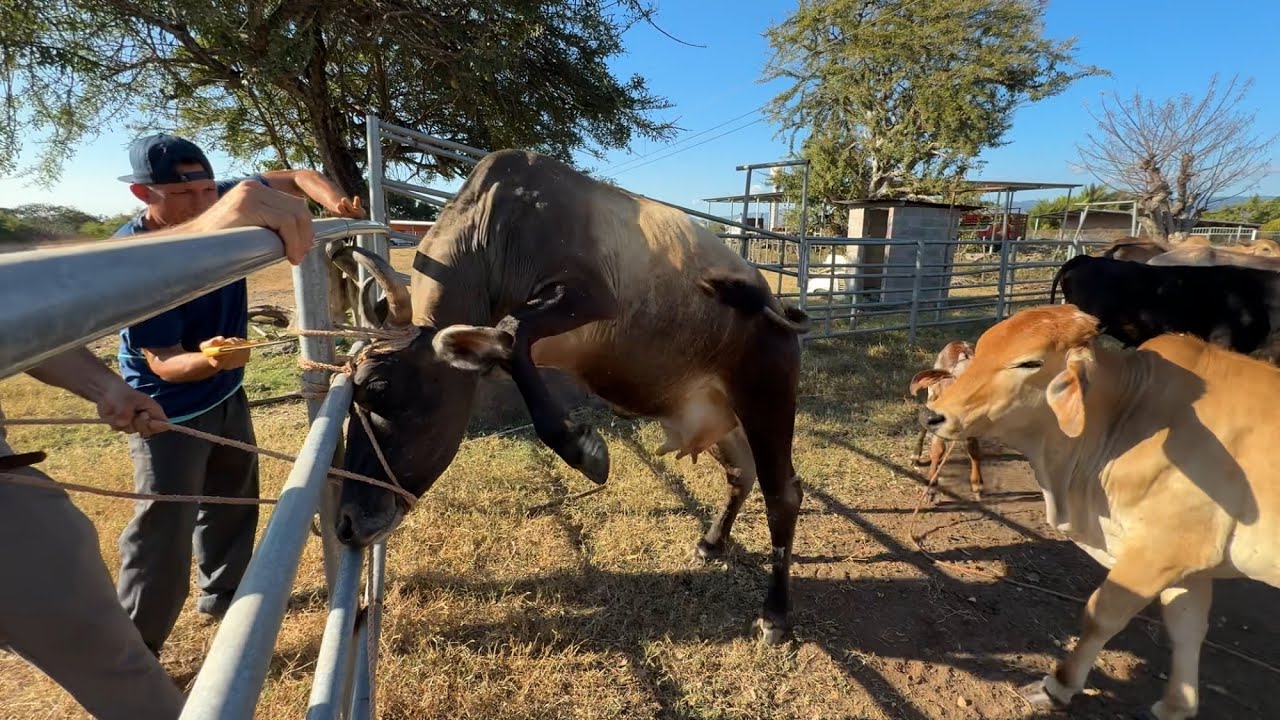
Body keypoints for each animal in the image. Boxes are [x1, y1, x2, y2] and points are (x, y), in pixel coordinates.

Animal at [325, 149, 811, 643]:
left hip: (767, 399)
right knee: (740, 473)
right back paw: (712, 543)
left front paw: (584, 449)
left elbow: (513, 331)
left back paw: (775, 613)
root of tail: (774, 303)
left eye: (379, 389)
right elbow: (510, 344)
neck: (496, 228)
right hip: (715, 415)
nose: (346, 524)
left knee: (783, 492)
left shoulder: (590, 294)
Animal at [908, 340, 983, 500]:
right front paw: (931, 487)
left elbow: (973, 449)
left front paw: (977, 485)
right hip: (932, 396)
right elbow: (937, 449)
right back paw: (916, 455)